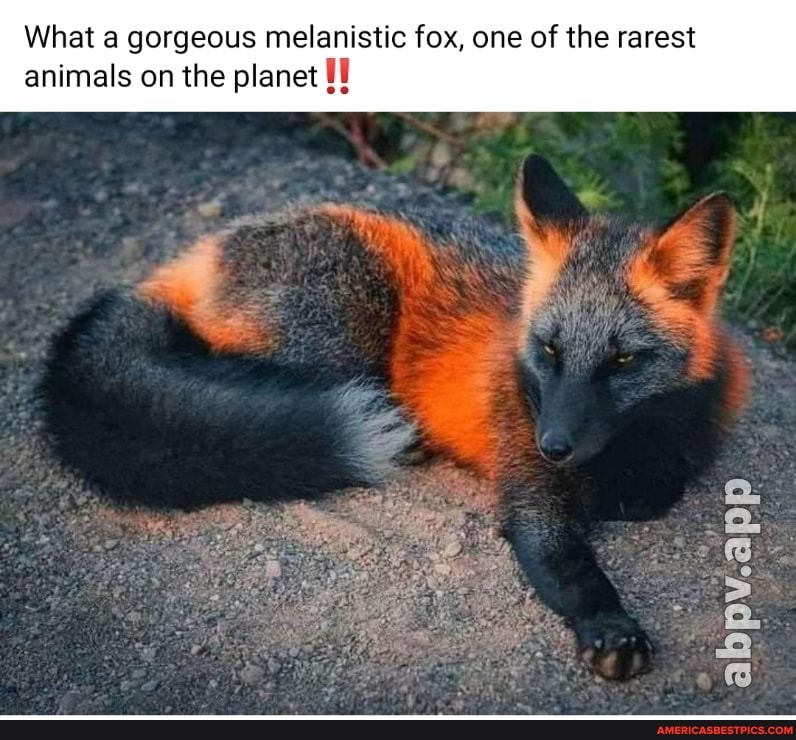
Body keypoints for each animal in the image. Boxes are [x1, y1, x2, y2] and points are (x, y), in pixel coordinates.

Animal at [41, 155, 749, 681]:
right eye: (549, 350)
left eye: (623, 359)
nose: (553, 444)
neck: (631, 445)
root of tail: (206, 248)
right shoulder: (528, 489)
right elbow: (570, 566)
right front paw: (610, 626)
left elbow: (656, 491)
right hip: (345, 332)